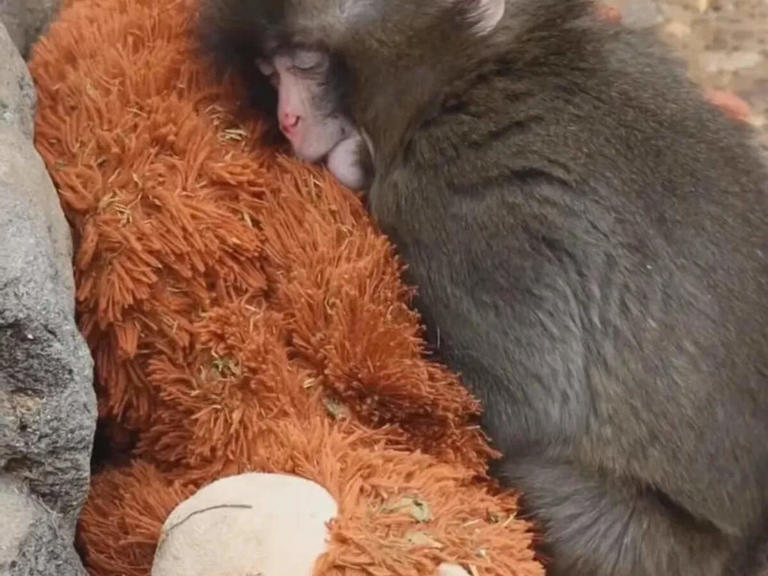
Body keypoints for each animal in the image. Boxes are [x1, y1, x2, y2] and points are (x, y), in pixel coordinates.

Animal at [199, 1, 768, 575]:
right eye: (271, 72)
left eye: (307, 63)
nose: (288, 121)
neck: (471, 78)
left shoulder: (455, 207)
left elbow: (515, 409)